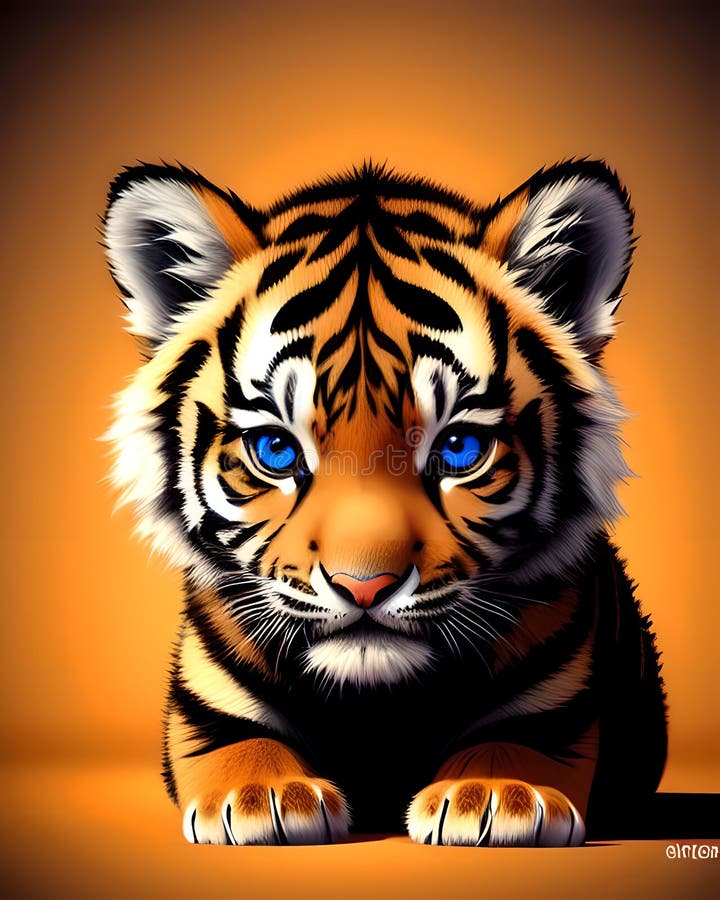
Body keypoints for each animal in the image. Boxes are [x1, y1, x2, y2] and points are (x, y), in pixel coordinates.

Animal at [103, 159, 667, 846]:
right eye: (275, 449)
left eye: (459, 447)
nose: (365, 587)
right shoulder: (208, 701)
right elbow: (237, 741)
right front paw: (261, 796)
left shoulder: (556, 701)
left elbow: (516, 739)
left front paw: (496, 793)